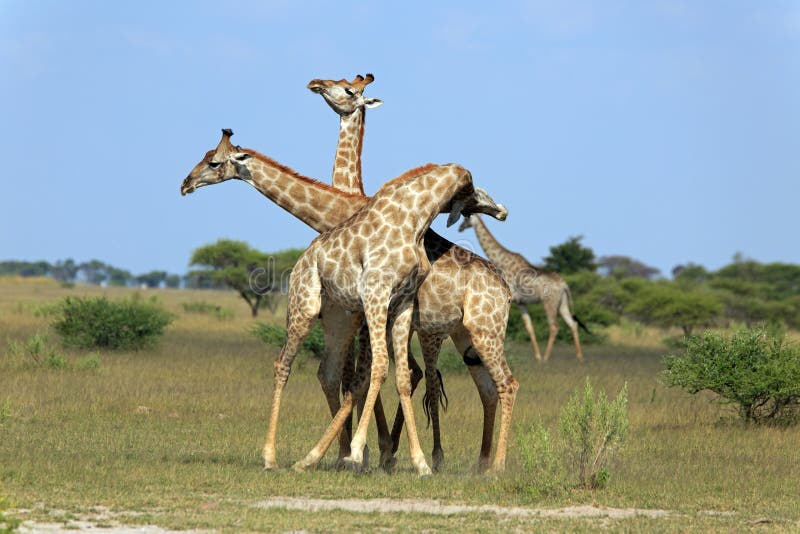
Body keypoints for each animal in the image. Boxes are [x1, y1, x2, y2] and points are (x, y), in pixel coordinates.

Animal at [181, 130, 519, 473]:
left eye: (213, 162)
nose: (186, 183)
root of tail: (506, 291)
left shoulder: (369, 311)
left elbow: (361, 378)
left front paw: (364, 452)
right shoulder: (366, 312)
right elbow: (359, 377)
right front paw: (367, 452)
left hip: (468, 332)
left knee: (494, 383)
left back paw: (483, 464)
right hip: (464, 337)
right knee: (484, 389)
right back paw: (479, 463)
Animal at [459, 214, 590, 362]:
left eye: (466, 218)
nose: (460, 228)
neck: (501, 261)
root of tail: (564, 285)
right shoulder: (521, 303)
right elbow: (529, 327)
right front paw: (537, 355)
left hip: (549, 302)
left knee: (554, 326)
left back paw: (546, 357)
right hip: (562, 303)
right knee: (572, 323)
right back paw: (579, 356)